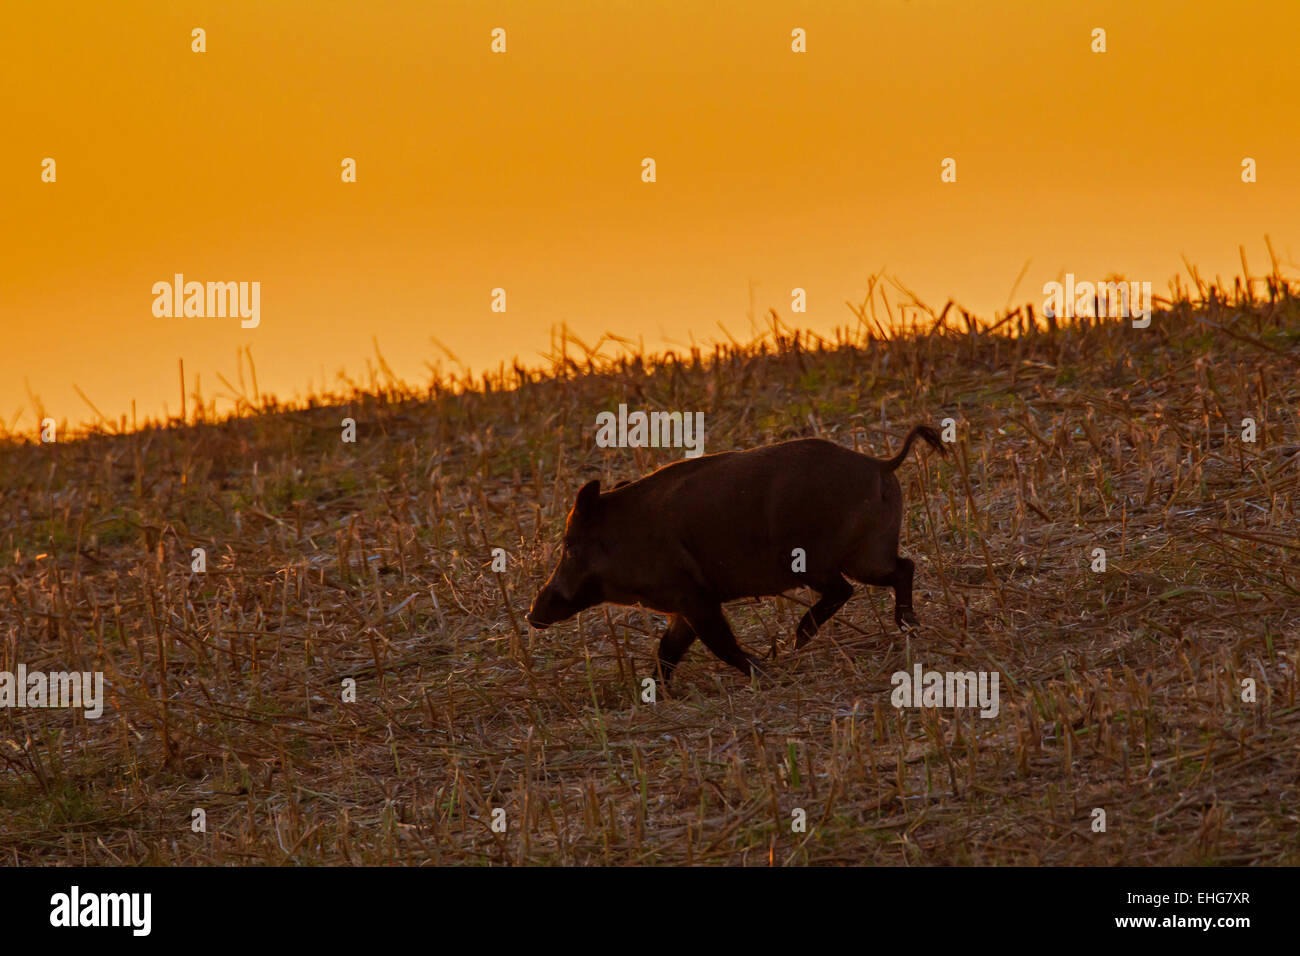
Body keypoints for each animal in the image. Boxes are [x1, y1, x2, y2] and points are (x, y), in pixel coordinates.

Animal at [527, 424, 945, 682]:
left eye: (569, 549)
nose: (532, 614)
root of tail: (878, 463)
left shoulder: (692, 595)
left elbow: (720, 643)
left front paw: (766, 671)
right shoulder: (682, 606)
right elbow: (668, 649)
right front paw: (653, 692)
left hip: (814, 559)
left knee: (847, 588)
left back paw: (795, 642)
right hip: (867, 552)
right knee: (902, 568)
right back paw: (908, 626)